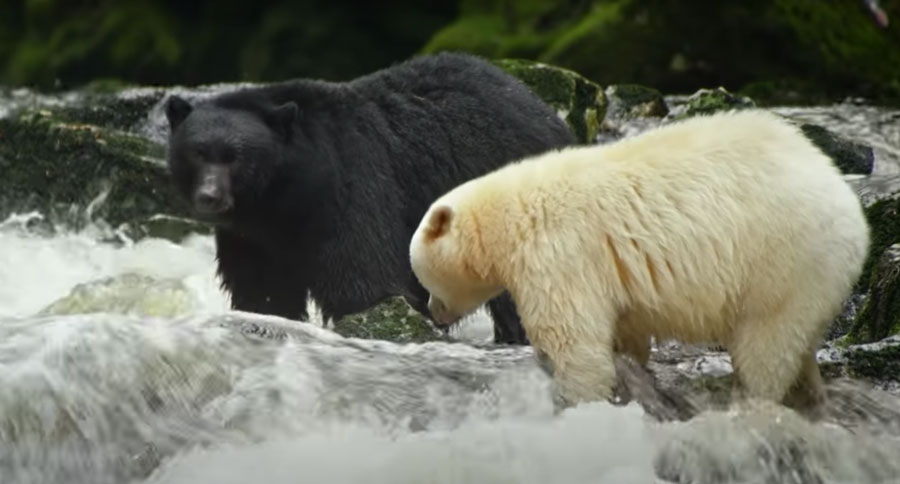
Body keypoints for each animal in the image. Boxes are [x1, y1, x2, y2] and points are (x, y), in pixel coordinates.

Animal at [163, 52, 576, 344]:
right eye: (198, 151)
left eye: (236, 156)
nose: (210, 196)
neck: (287, 195)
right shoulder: (253, 237)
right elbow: (263, 291)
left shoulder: (352, 187)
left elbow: (363, 278)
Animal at [409, 109, 870, 408]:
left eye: (423, 276)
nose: (433, 312)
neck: (512, 214)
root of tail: (850, 205)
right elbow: (625, 330)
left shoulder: (559, 252)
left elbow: (574, 341)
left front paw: (579, 400)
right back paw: (811, 396)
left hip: (786, 259)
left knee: (767, 343)